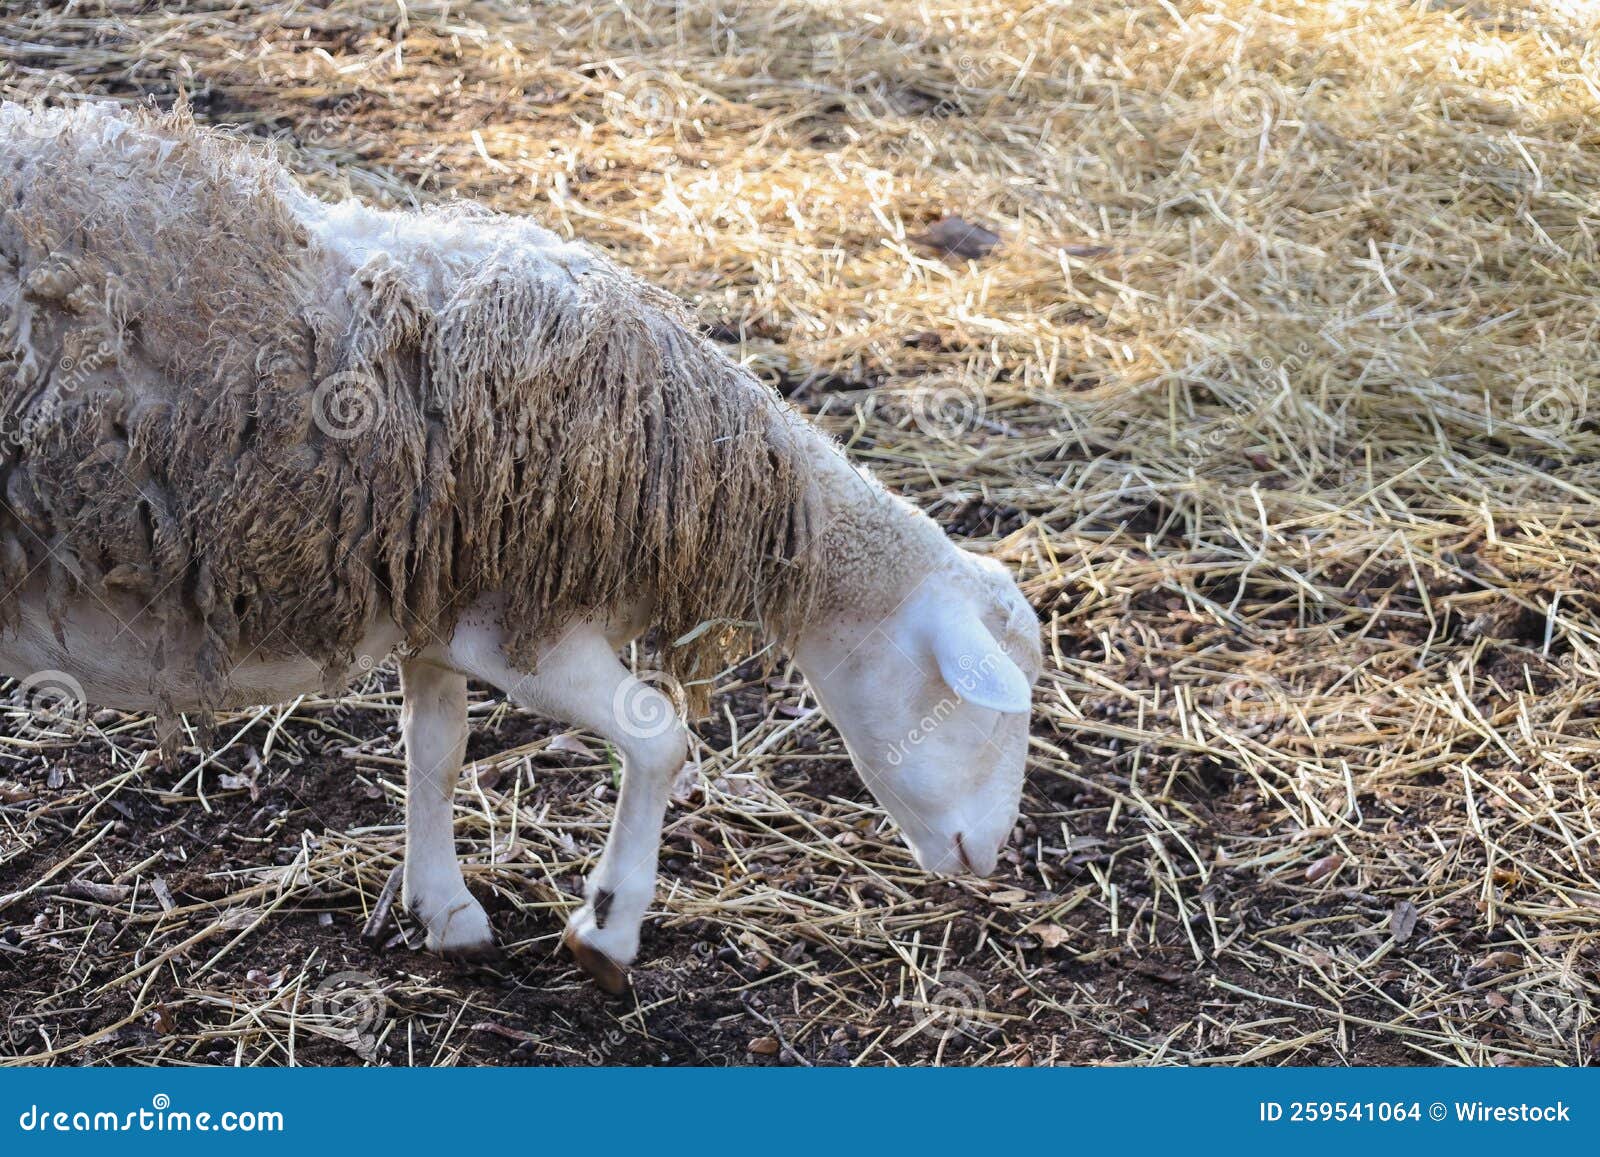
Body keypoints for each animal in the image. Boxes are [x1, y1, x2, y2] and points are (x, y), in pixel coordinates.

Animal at [0, 101, 1042, 993]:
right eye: (977, 707)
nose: (989, 858)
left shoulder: (435, 610)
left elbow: (437, 747)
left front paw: (446, 909)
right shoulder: (521, 629)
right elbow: (658, 739)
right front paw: (606, 930)